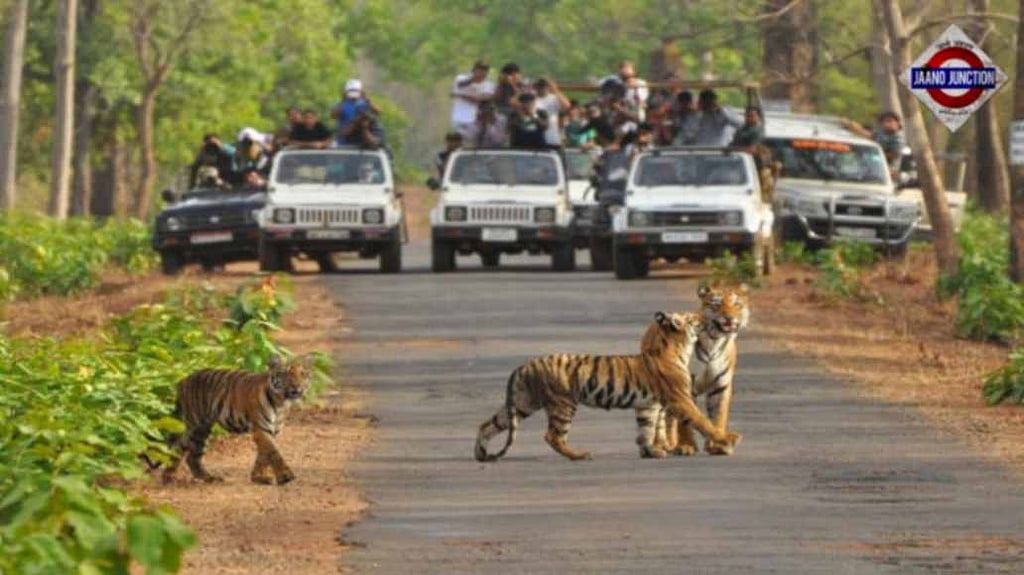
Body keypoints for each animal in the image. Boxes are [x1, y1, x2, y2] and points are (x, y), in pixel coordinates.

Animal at [159, 354, 313, 485]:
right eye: (285, 373)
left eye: (303, 374)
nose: (297, 387)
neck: (281, 402)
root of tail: (182, 381)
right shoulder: (261, 429)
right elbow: (273, 452)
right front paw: (285, 476)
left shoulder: (272, 431)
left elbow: (263, 455)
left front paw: (259, 477)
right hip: (191, 426)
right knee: (176, 448)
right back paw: (168, 478)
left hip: (202, 431)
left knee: (192, 457)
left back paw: (209, 478)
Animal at [474, 311, 742, 462]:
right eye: (695, 318)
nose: (711, 320)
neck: (676, 346)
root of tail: (524, 365)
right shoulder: (680, 399)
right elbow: (702, 421)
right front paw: (727, 439)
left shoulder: (648, 405)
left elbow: (646, 429)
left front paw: (650, 452)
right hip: (563, 404)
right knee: (553, 436)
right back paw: (580, 455)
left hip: (523, 403)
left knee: (487, 424)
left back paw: (481, 454)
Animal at [657, 284, 749, 457]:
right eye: (716, 304)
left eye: (737, 304)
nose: (729, 318)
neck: (714, 341)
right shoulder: (684, 386)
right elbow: (686, 421)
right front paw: (686, 446)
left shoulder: (721, 385)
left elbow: (718, 416)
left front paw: (718, 445)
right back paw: (668, 444)